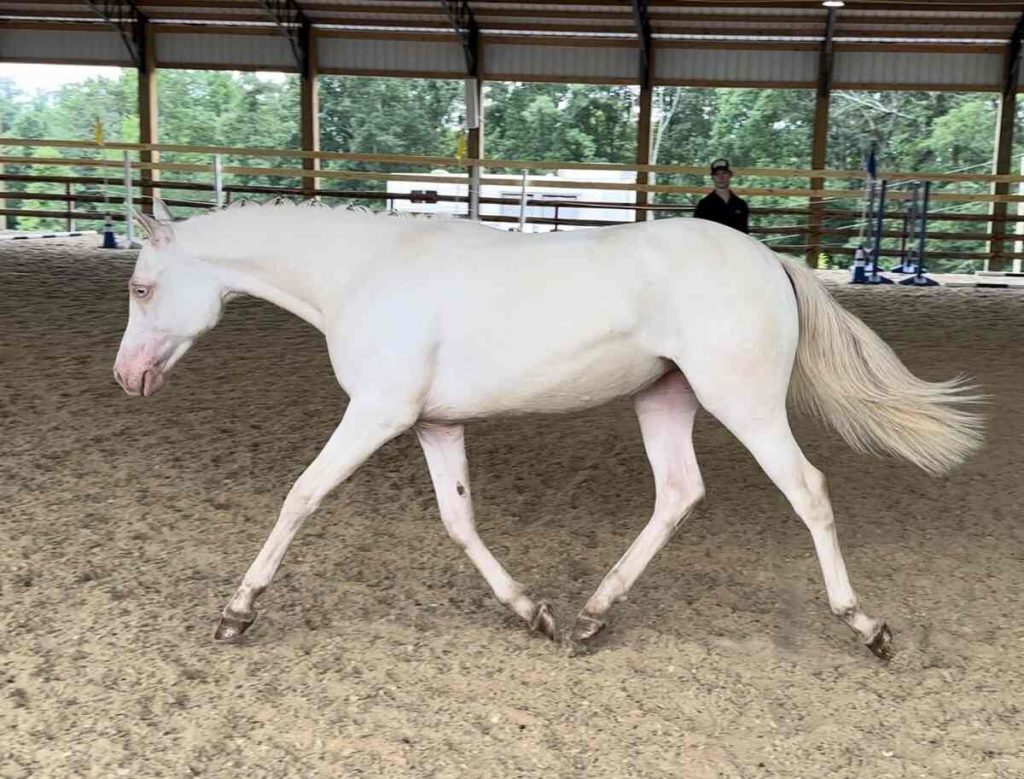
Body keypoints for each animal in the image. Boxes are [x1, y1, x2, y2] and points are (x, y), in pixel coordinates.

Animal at [113, 200, 983, 660]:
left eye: (143, 287)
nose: (127, 377)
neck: (366, 276)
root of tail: (768, 261)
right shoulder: (433, 425)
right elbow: (459, 520)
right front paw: (530, 611)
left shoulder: (378, 414)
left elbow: (301, 495)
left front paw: (237, 611)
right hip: (664, 399)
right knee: (678, 492)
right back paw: (593, 615)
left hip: (746, 403)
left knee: (809, 491)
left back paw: (866, 626)